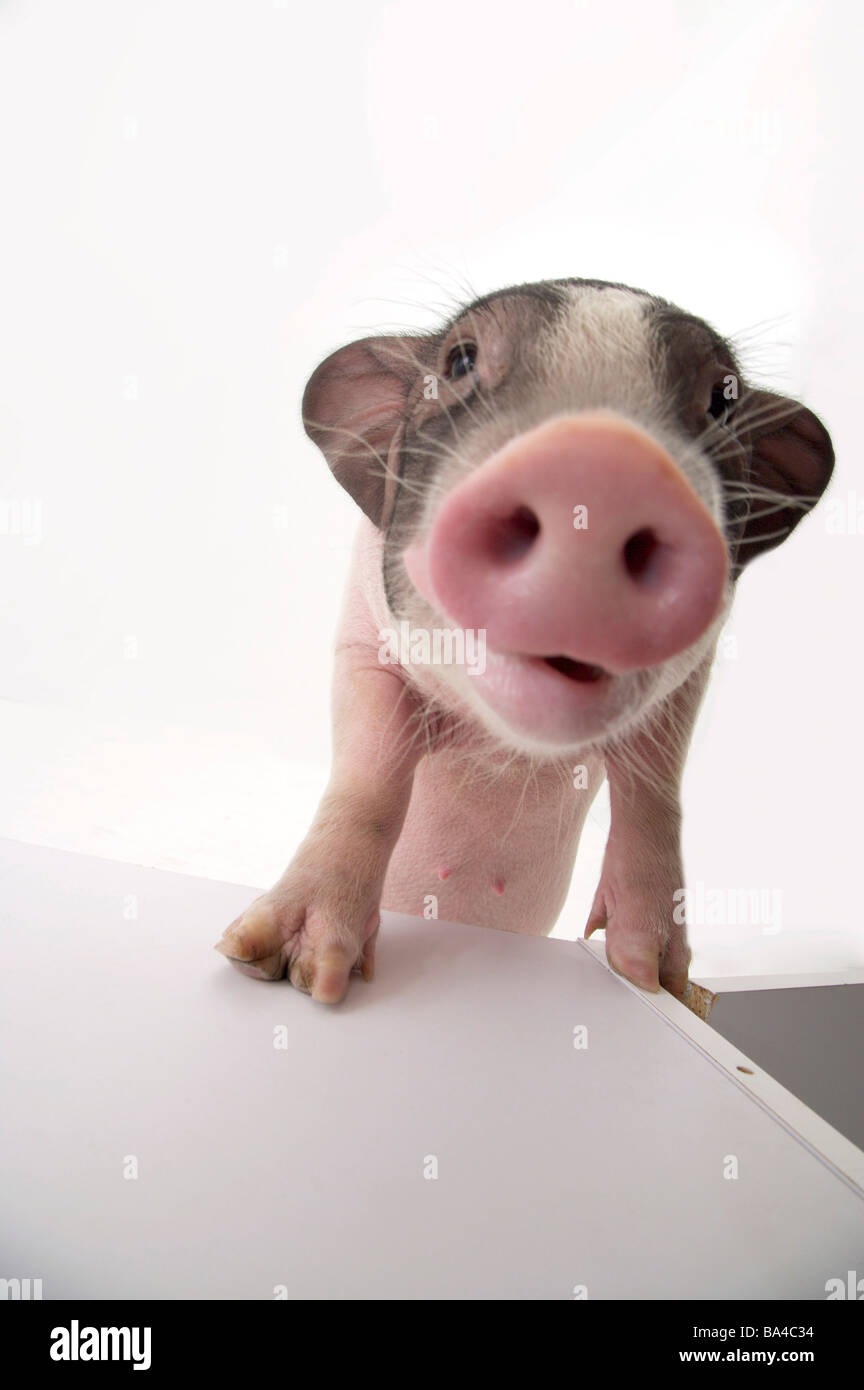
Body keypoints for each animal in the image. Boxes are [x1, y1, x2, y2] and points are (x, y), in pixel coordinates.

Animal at [214, 278, 834, 1004]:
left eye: (721, 400)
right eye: (459, 361)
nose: (598, 459)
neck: (509, 750)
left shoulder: (686, 686)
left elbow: (655, 797)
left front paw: (659, 981)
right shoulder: (365, 648)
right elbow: (369, 777)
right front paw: (283, 971)